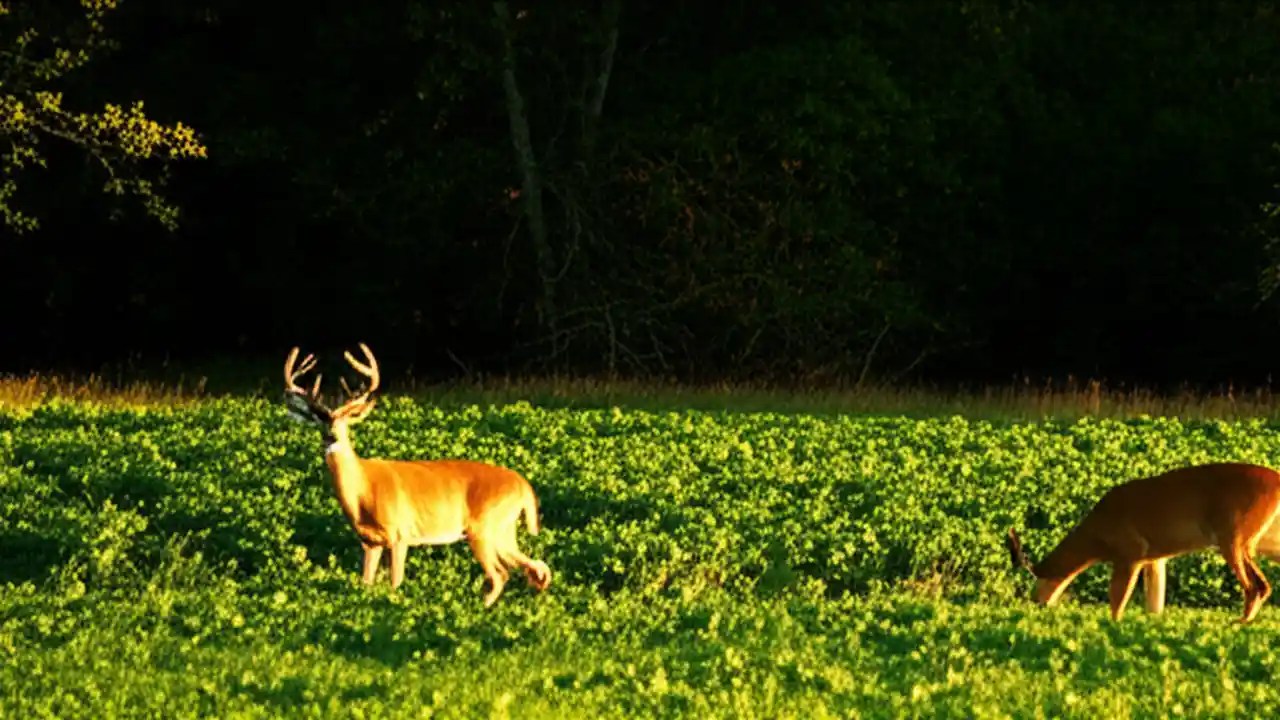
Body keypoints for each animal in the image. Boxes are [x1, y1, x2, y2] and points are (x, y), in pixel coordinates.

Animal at [281, 343, 551, 607]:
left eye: (347, 422)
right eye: (321, 423)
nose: (331, 438)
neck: (363, 491)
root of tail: (523, 484)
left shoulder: (400, 534)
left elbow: (395, 583)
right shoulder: (369, 541)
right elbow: (366, 584)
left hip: (483, 526)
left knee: (500, 574)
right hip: (503, 528)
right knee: (536, 567)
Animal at [1005, 462, 1280, 623]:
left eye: (1036, 585)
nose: (1036, 604)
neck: (1096, 535)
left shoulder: (1130, 553)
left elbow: (1117, 598)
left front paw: (1114, 625)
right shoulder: (1155, 558)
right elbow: (1154, 602)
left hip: (1234, 536)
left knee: (1257, 585)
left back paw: (1239, 622)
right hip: (1265, 541)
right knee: (1263, 584)